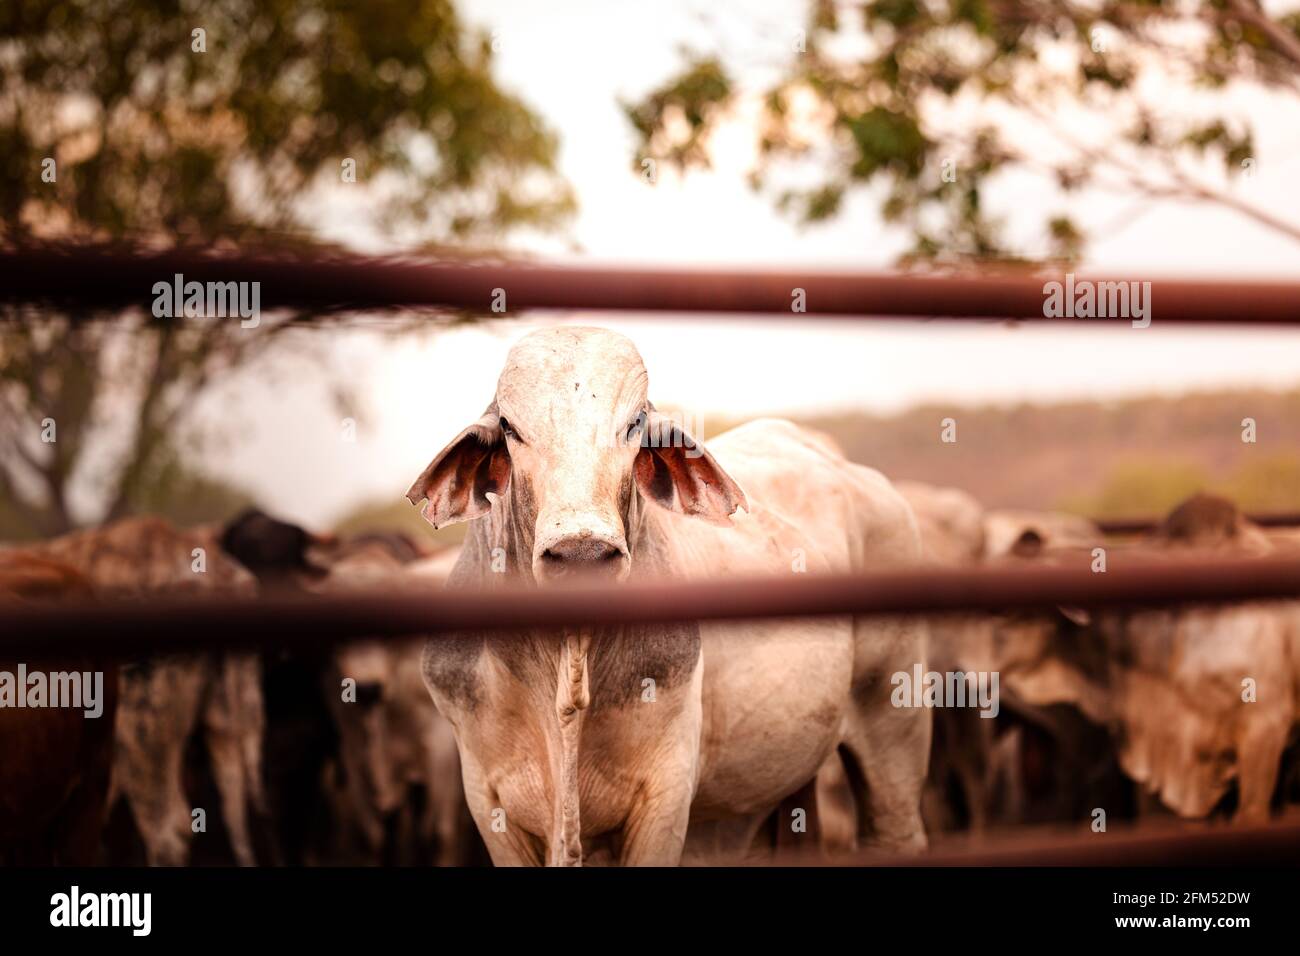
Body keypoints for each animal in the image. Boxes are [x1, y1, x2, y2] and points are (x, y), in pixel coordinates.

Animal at [405, 326, 930, 866]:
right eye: (510, 427)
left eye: (635, 422)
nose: (581, 553)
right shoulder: (489, 803)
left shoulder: (665, 798)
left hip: (894, 730)